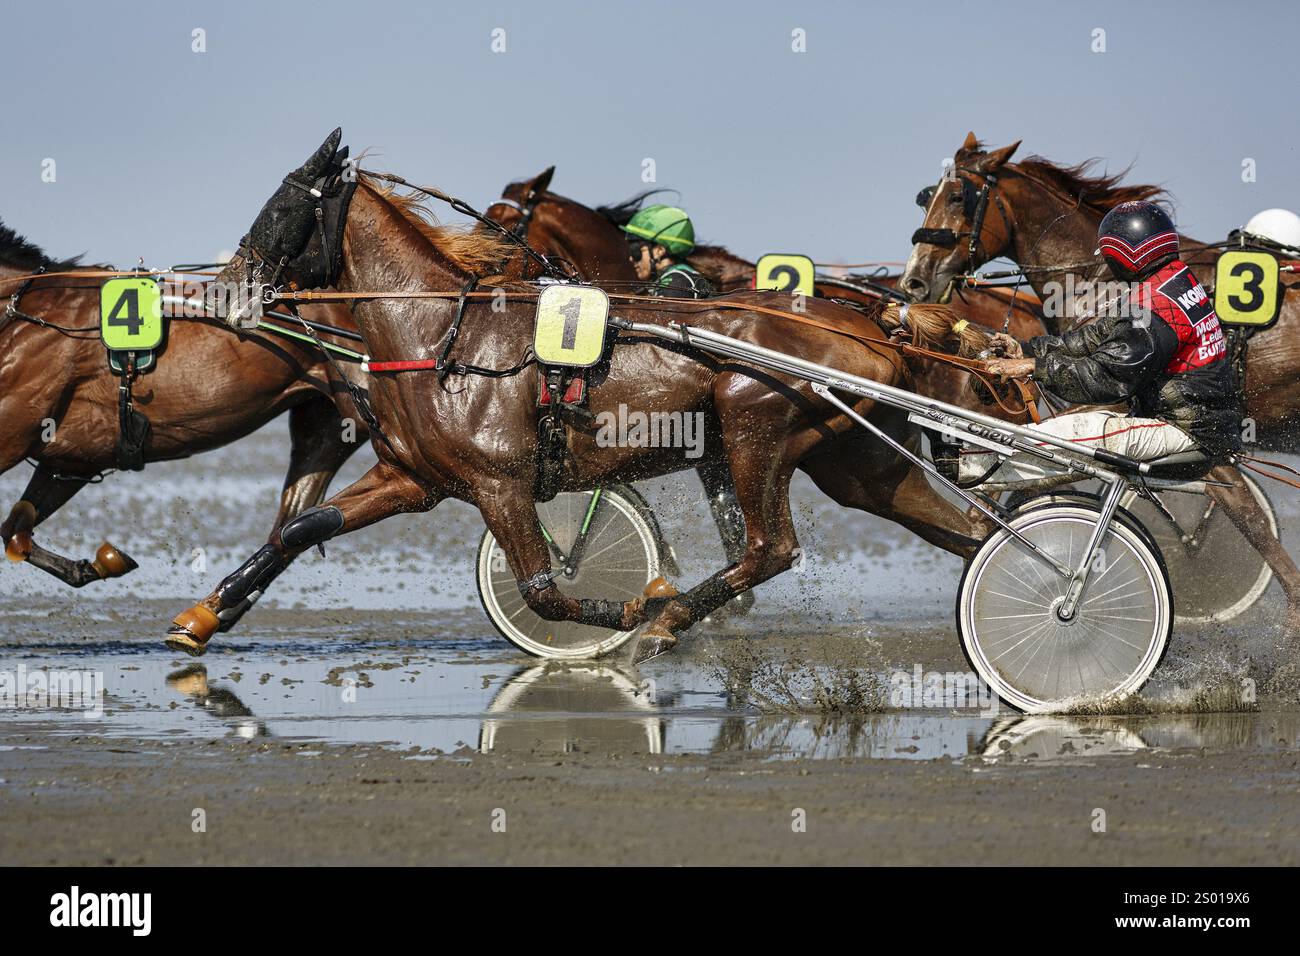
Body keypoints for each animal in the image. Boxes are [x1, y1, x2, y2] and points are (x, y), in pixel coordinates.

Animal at [0, 218, 368, 632]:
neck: (30, 316)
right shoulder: (71, 459)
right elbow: (16, 528)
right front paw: (100, 563)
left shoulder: (12, 431)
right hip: (328, 423)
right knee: (293, 523)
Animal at [165, 128, 993, 663]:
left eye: (282, 207)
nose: (225, 290)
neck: (442, 336)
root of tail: (876, 324)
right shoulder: (415, 479)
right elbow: (299, 529)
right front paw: (204, 614)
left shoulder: (500, 483)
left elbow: (545, 588)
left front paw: (637, 605)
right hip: (858, 464)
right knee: (962, 530)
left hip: (750, 418)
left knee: (770, 548)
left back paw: (668, 620)